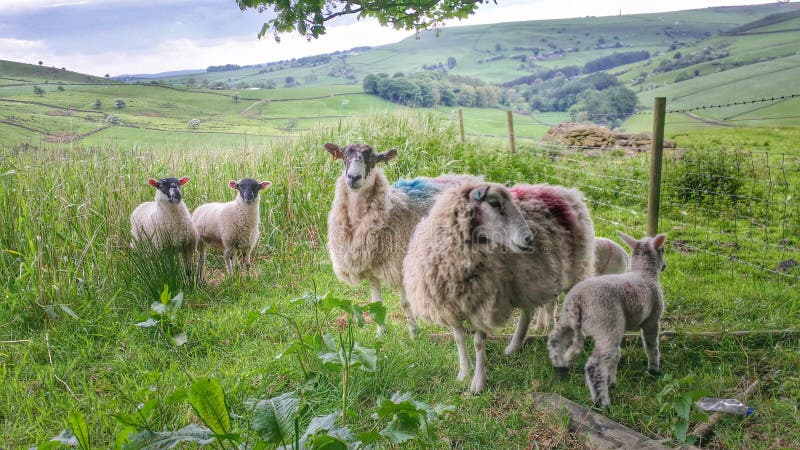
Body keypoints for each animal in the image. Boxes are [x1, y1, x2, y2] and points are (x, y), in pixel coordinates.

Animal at [324, 142, 479, 336]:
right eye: (344, 156)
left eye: (372, 159)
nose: (353, 177)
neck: (390, 211)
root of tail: (472, 177)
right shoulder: (371, 268)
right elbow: (377, 304)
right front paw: (380, 333)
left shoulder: (399, 265)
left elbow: (405, 303)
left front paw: (414, 333)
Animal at [403, 182, 595, 393]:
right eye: (494, 203)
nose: (529, 239)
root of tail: (565, 192)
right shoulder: (450, 304)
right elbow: (459, 339)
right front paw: (463, 373)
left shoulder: (483, 305)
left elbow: (478, 343)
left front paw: (478, 383)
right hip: (527, 279)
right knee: (527, 312)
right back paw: (514, 347)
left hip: (576, 270)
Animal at [547, 231, 667, 408]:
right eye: (663, 250)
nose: (665, 266)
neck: (644, 273)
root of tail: (579, 299)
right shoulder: (652, 319)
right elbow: (652, 346)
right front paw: (654, 370)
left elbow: (616, 355)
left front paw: (612, 379)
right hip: (606, 322)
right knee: (594, 365)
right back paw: (602, 402)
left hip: (569, 318)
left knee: (556, 340)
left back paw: (560, 367)